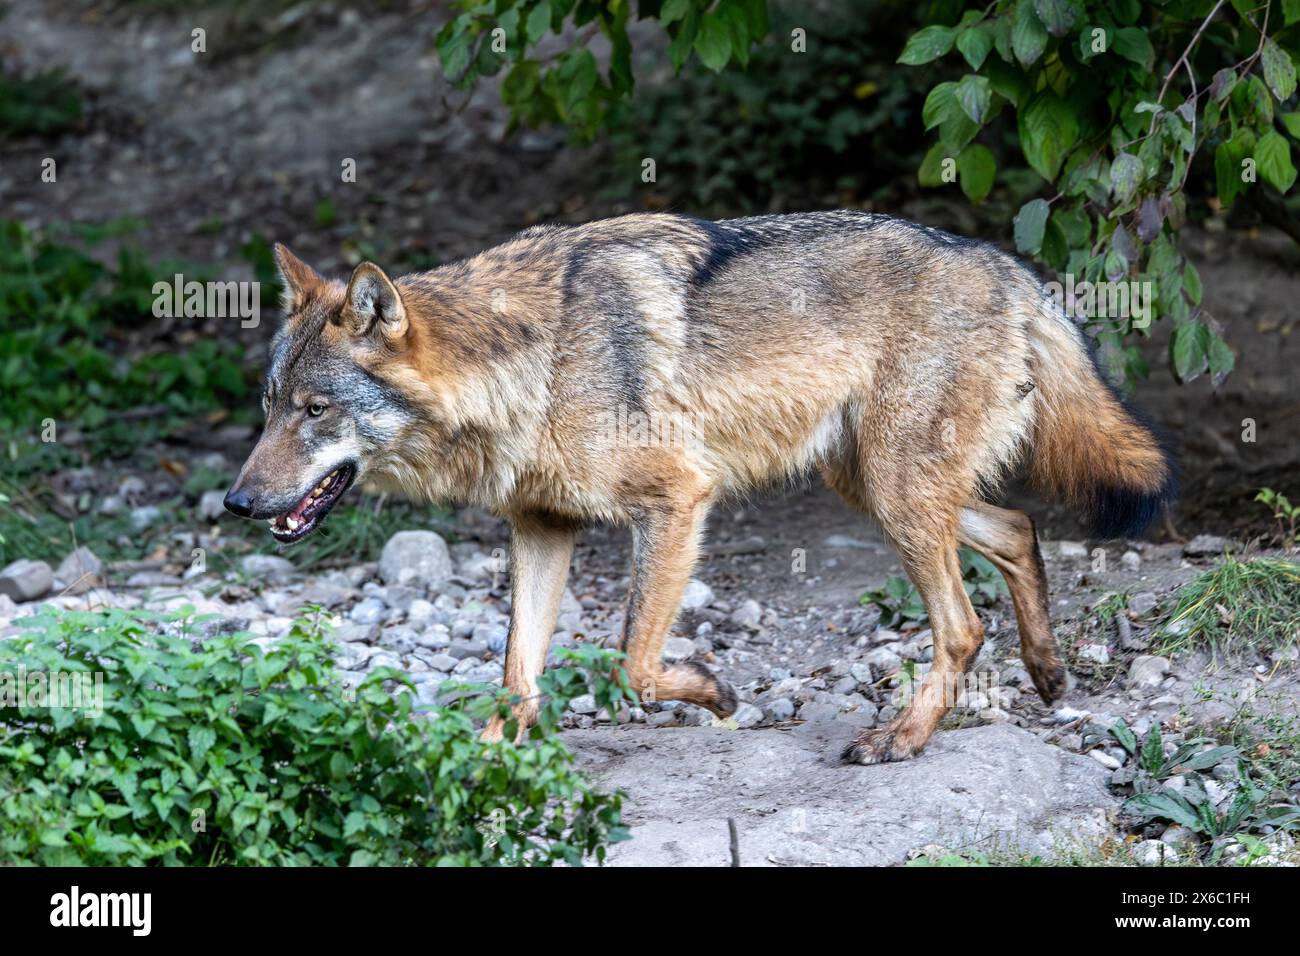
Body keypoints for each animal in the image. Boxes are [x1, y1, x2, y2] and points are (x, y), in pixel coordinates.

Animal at [224, 210, 1174, 763]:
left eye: (315, 411)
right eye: (269, 407)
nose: (237, 503)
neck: (535, 365)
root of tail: (1011, 268)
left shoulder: (679, 501)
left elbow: (635, 665)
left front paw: (716, 693)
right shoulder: (541, 527)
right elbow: (517, 674)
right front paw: (485, 761)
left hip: (896, 496)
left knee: (964, 624)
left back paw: (900, 739)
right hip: (872, 486)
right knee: (1017, 530)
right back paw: (1047, 674)